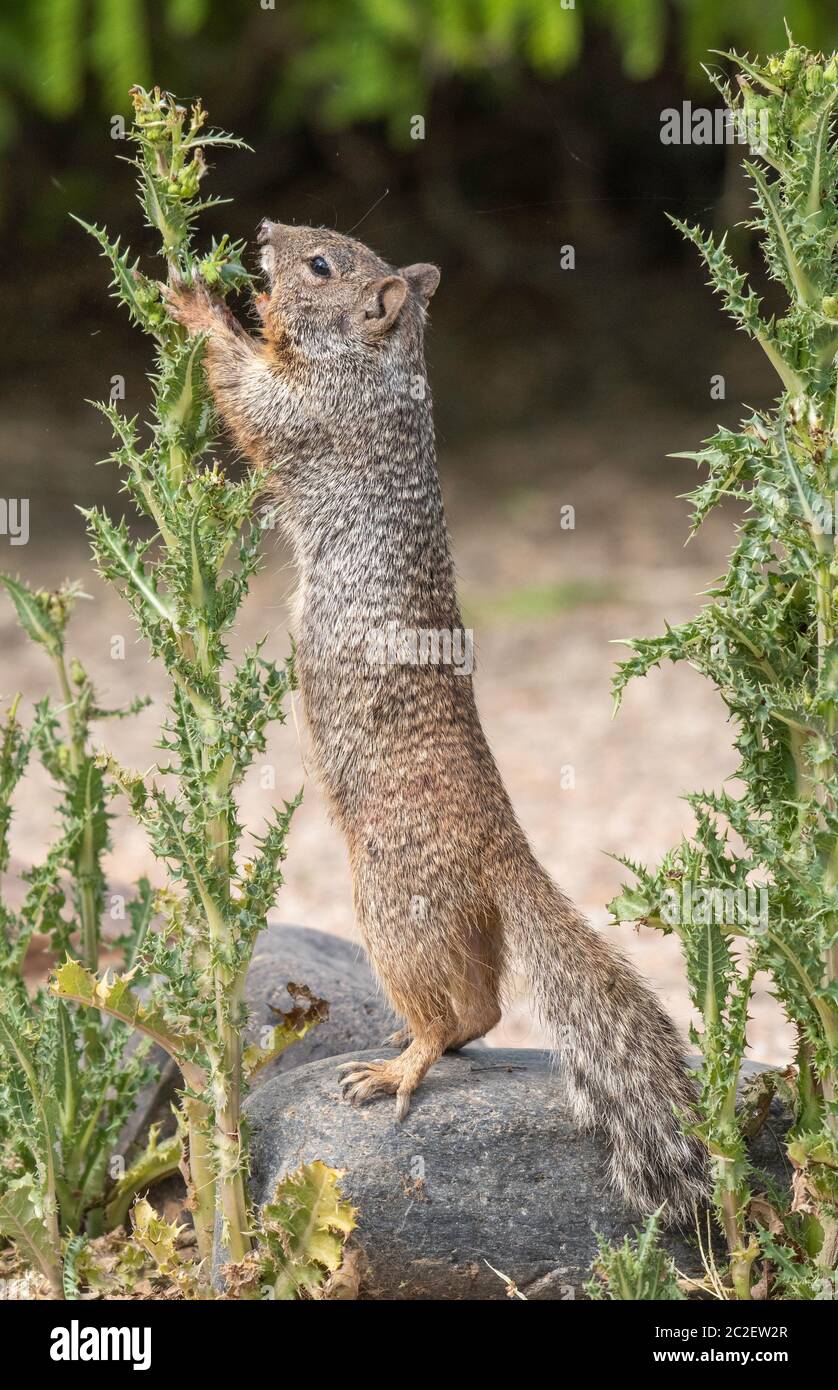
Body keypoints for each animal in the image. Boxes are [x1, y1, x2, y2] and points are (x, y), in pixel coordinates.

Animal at [165, 221, 709, 1220]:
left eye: (323, 265)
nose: (264, 233)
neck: (385, 368)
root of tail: (503, 854)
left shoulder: (313, 411)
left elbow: (251, 392)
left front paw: (198, 301)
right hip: (458, 926)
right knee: (484, 1009)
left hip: (395, 910)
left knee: (444, 1008)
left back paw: (400, 1065)